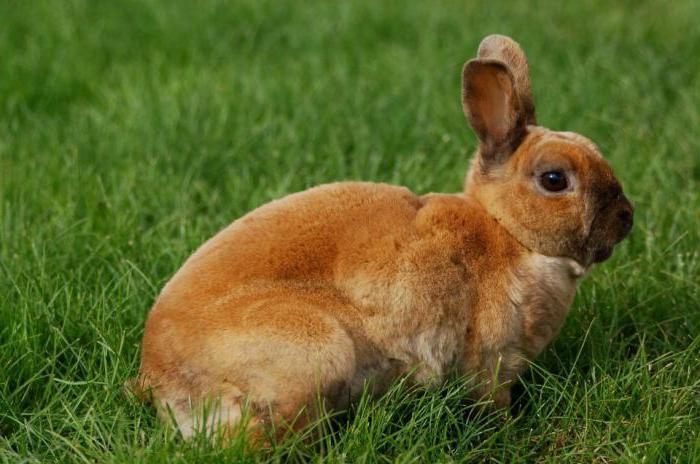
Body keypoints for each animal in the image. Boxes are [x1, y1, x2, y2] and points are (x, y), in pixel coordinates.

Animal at [130, 35, 636, 438]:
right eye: (554, 179)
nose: (626, 217)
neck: (506, 232)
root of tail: (159, 377)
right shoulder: (490, 362)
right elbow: (492, 402)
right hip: (316, 352)